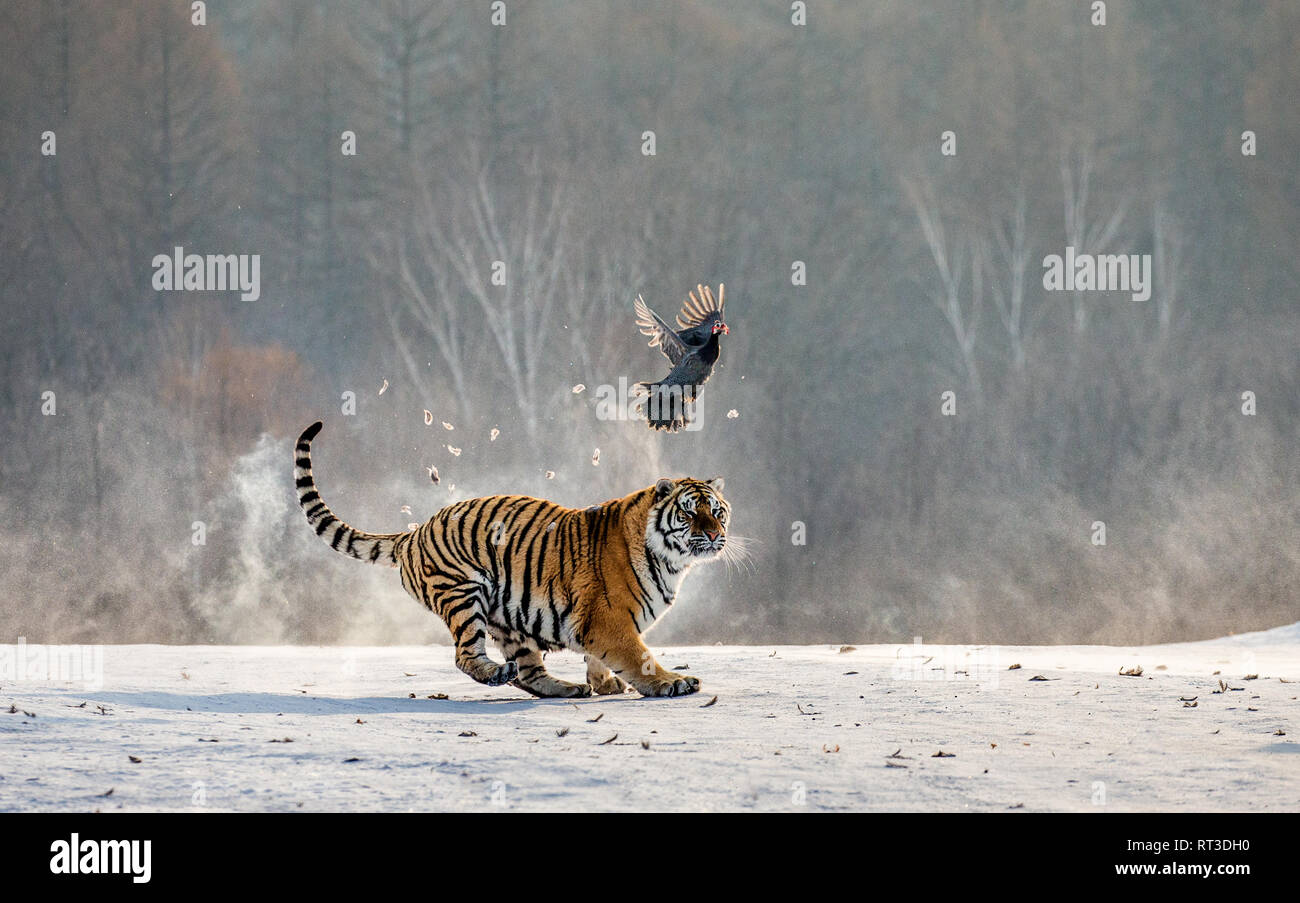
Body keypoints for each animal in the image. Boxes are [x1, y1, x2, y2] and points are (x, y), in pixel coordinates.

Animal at [293, 421, 730, 698]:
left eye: (717, 512)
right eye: (689, 513)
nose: (713, 534)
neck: (671, 562)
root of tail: (414, 532)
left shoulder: (594, 624)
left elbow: (601, 658)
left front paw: (605, 684)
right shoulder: (609, 619)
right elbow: (638, 656)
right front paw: (671, 683)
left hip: (511, 619)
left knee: (529, 672)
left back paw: (565, 687)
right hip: (463, 593)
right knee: (466, 656)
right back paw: (496, 672)